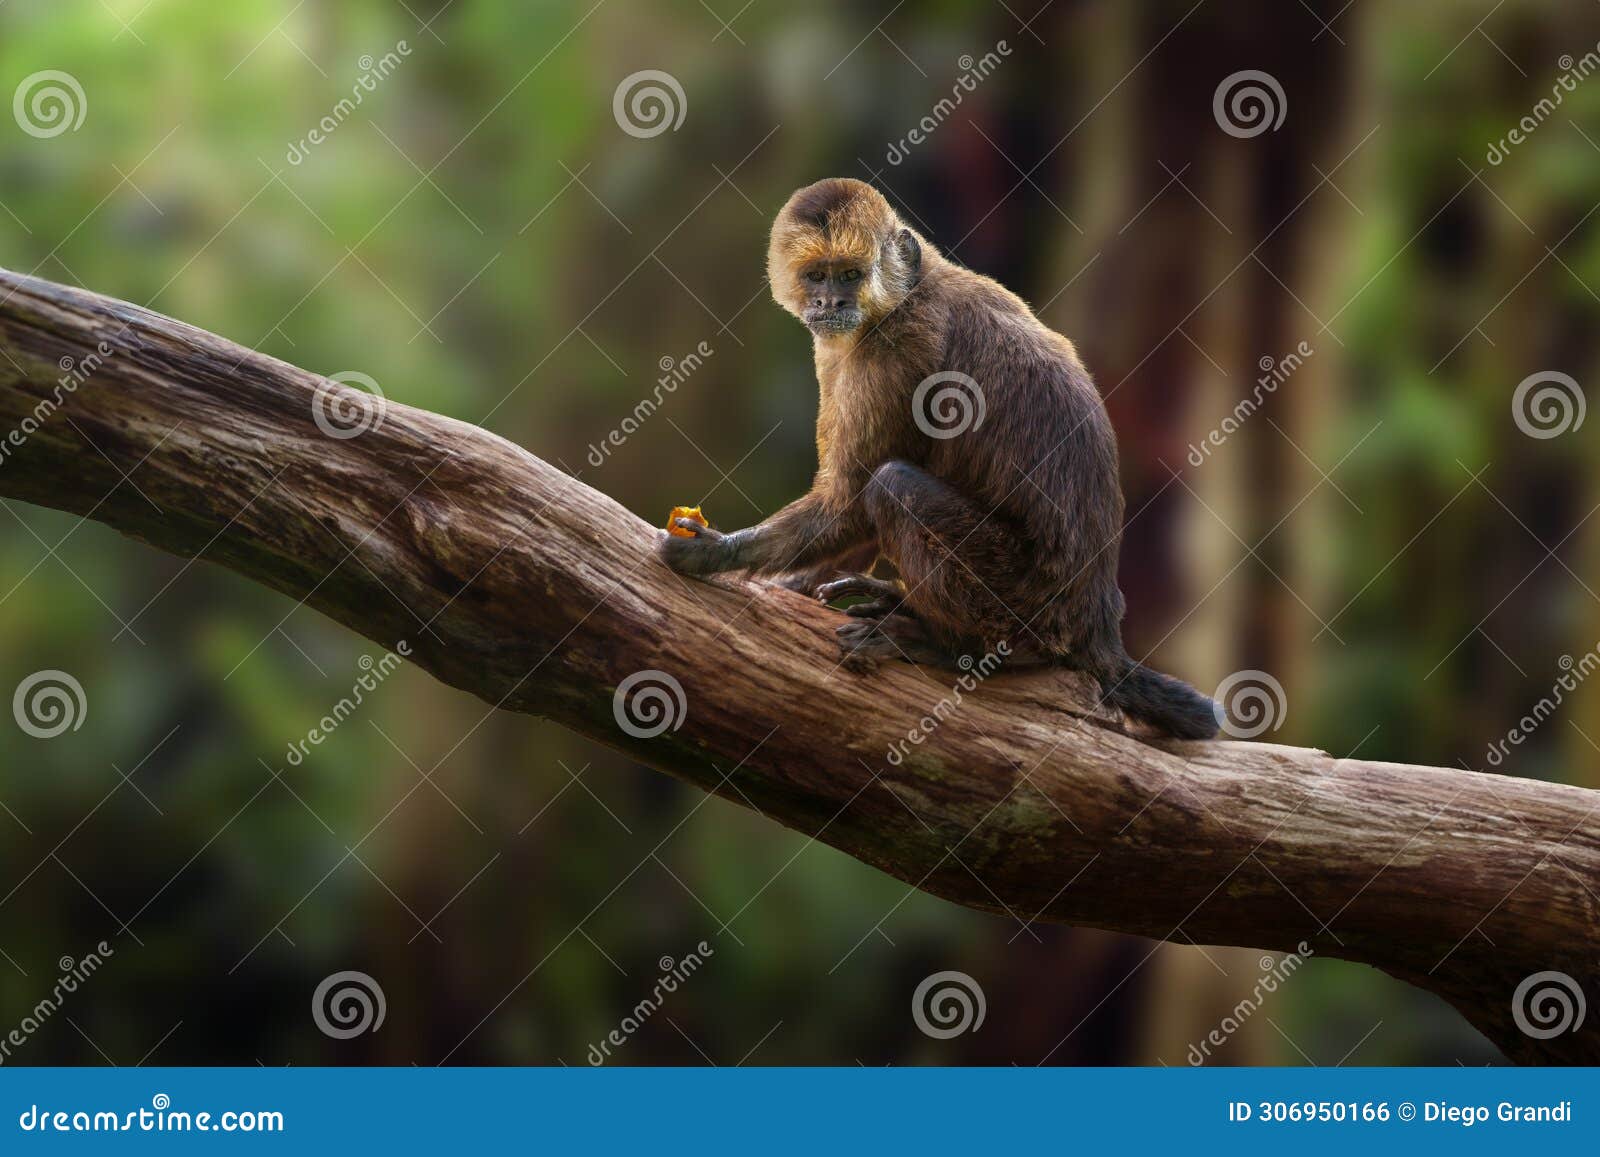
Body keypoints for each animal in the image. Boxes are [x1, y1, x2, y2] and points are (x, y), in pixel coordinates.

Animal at [658, 177, 1218, 740]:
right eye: (817, 275)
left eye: (850, 275)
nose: (829, 299)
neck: (905, 293)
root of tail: (1097, 620)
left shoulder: (901, 348)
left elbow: (850, 501)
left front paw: (719, 553)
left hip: (1028, 600)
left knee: (894, 485)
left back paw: (952, 647)